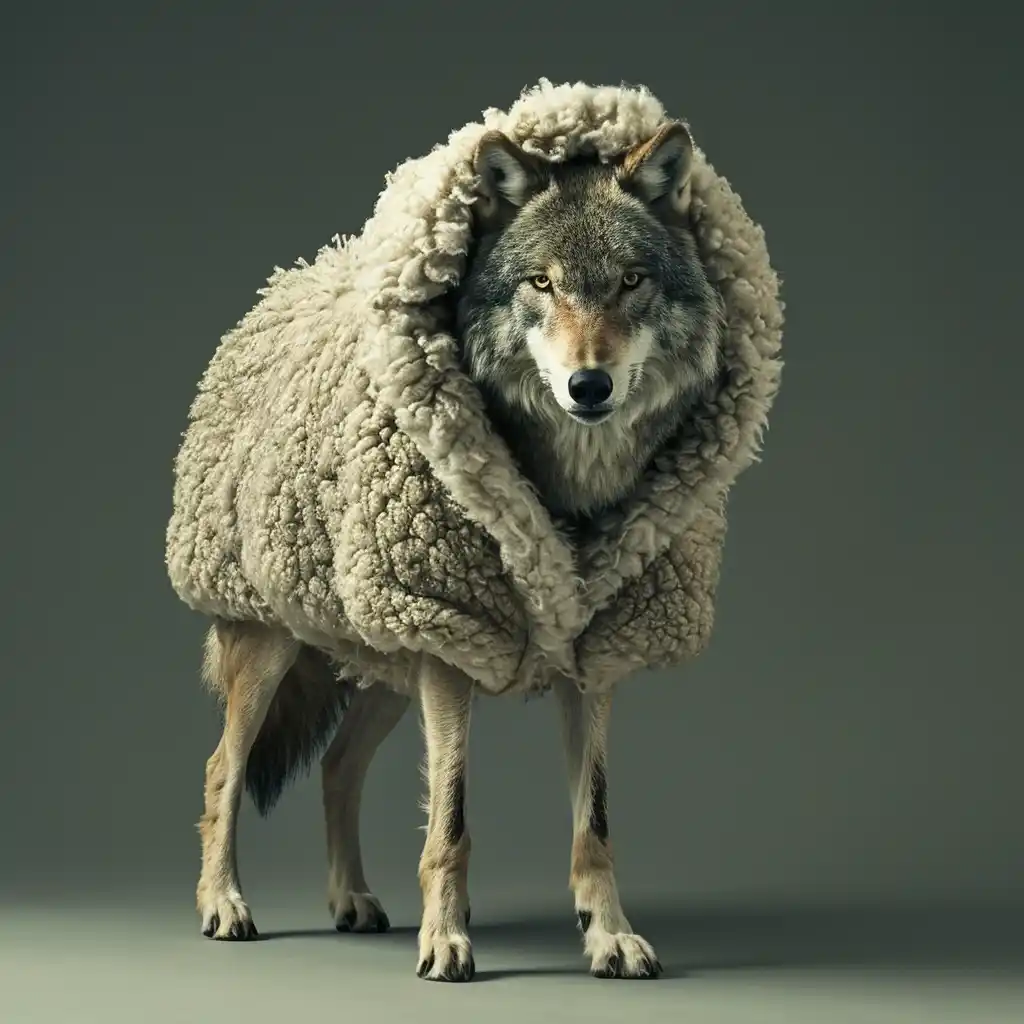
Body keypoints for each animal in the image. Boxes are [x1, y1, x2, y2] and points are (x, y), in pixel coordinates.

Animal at [194, 121, 723, 982]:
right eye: (542, 283)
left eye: (630, 281)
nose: (589, 386)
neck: (562, 492)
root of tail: (273, 295)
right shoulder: (452, 648)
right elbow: (451, 822)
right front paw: (446, 941)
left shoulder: (591, 656)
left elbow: (595, 825)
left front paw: (608, 935)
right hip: (279, 650)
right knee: (222, 771)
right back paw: (224, 904)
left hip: (388, 660)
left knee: (337, 767)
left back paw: (352, 901)